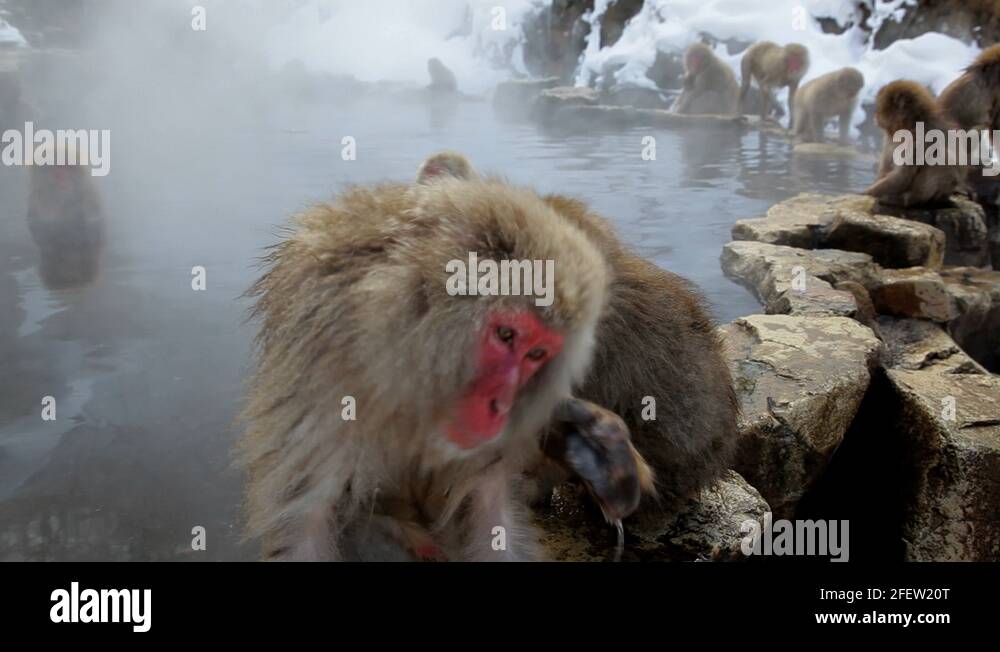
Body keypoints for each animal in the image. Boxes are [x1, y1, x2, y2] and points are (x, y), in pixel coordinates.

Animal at [239, 152, 655, 561]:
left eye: (536, 353)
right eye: (505, 335)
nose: (501, 406)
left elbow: (491, 516)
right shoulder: (324, 375)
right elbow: (303, 526)